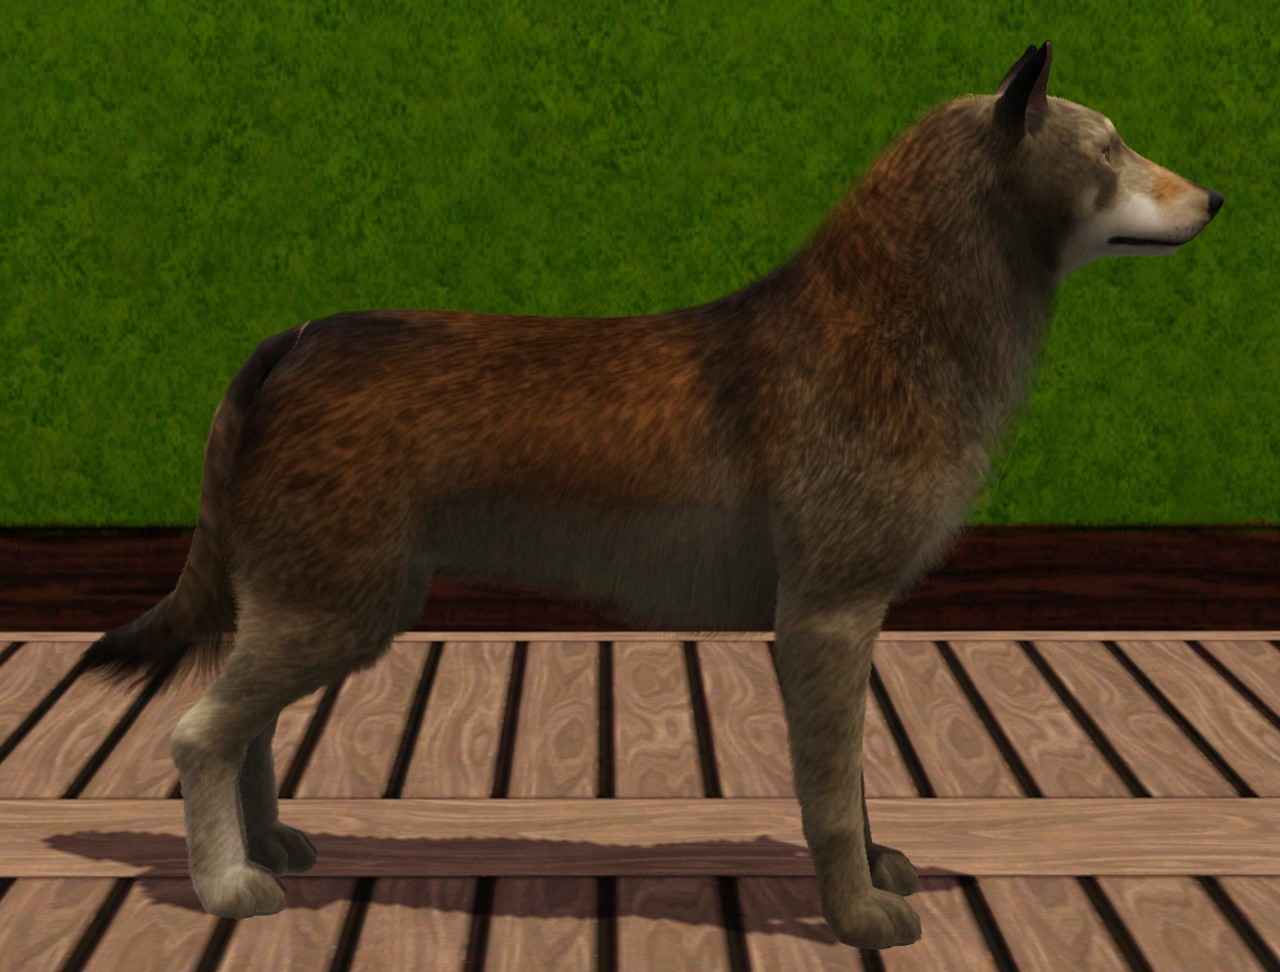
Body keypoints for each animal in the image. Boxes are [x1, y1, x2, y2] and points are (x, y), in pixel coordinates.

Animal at [81, 41, 1221, 948]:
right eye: (1109, 148)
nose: (1217, 200)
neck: (895, 327)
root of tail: (294, 340)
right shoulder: (825, 618)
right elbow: (827, 792)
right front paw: (856, 916)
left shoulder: (842, 624)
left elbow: (850, 777)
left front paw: (876, 870)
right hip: (336, 605)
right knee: (200, 733)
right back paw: (228, 884)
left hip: (330, 603)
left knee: (249, 727)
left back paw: (271, 842)